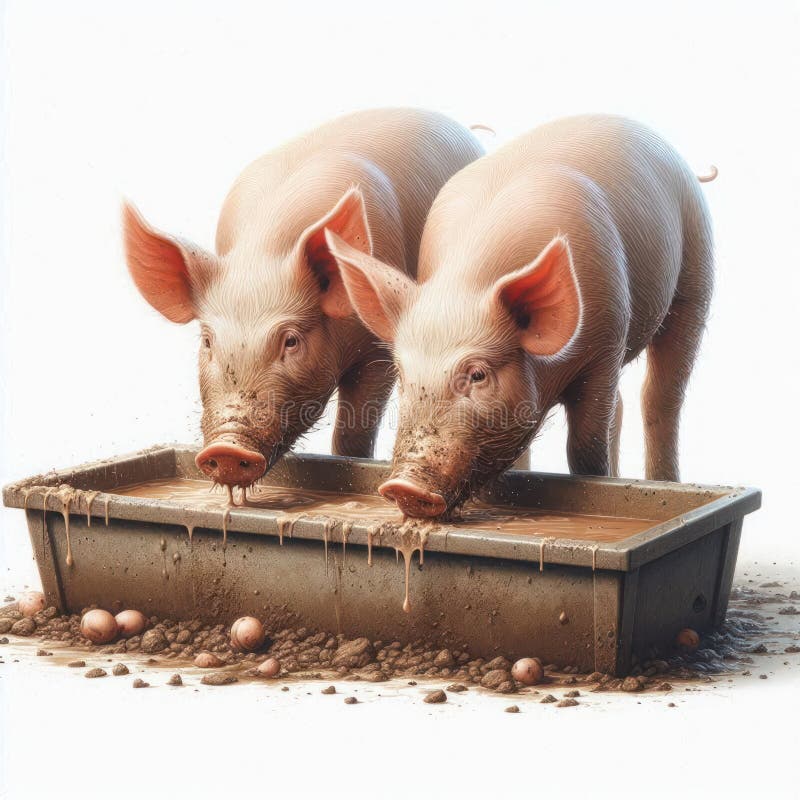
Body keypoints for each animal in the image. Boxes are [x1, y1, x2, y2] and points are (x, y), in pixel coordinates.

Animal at [123, 108, 483, 490]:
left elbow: (354, 433)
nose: (226, 449)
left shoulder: (377, 350)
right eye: (207, 341)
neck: (264, 252)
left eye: (291, 340)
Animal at [327, 114, 714, 517]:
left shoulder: (606, 347)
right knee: (623, 406)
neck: (467, 285)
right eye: (403, 376)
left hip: (697, 271)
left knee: (661, 396)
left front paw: (598, 481)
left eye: (477, 374)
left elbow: (587, 447)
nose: (402, 487)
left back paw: (666, 480)